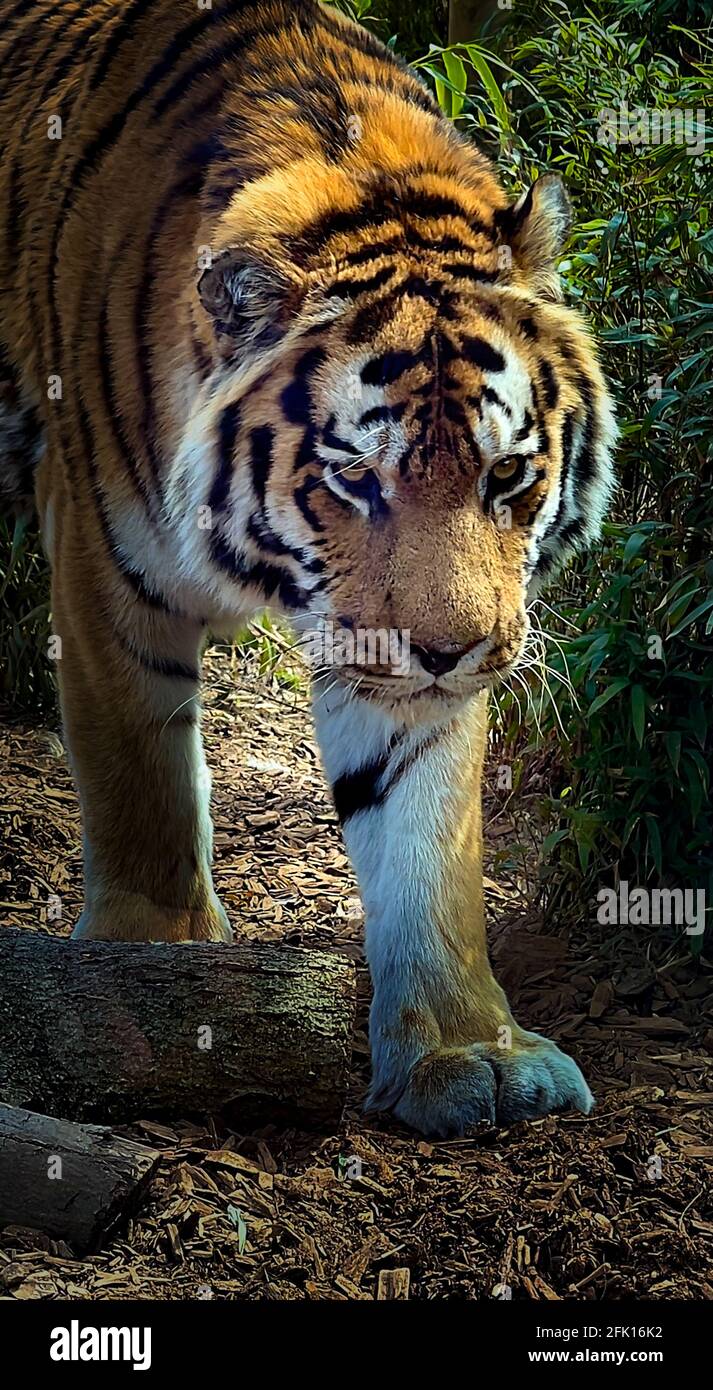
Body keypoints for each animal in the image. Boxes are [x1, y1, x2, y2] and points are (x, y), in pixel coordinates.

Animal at [0, 0, 616, 1137]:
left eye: (507, 473)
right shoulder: (108, 577)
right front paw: (149, 987)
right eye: (354, 478)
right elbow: (142, 789)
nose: (451, 651)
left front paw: (468, 1050)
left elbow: (424, 837)